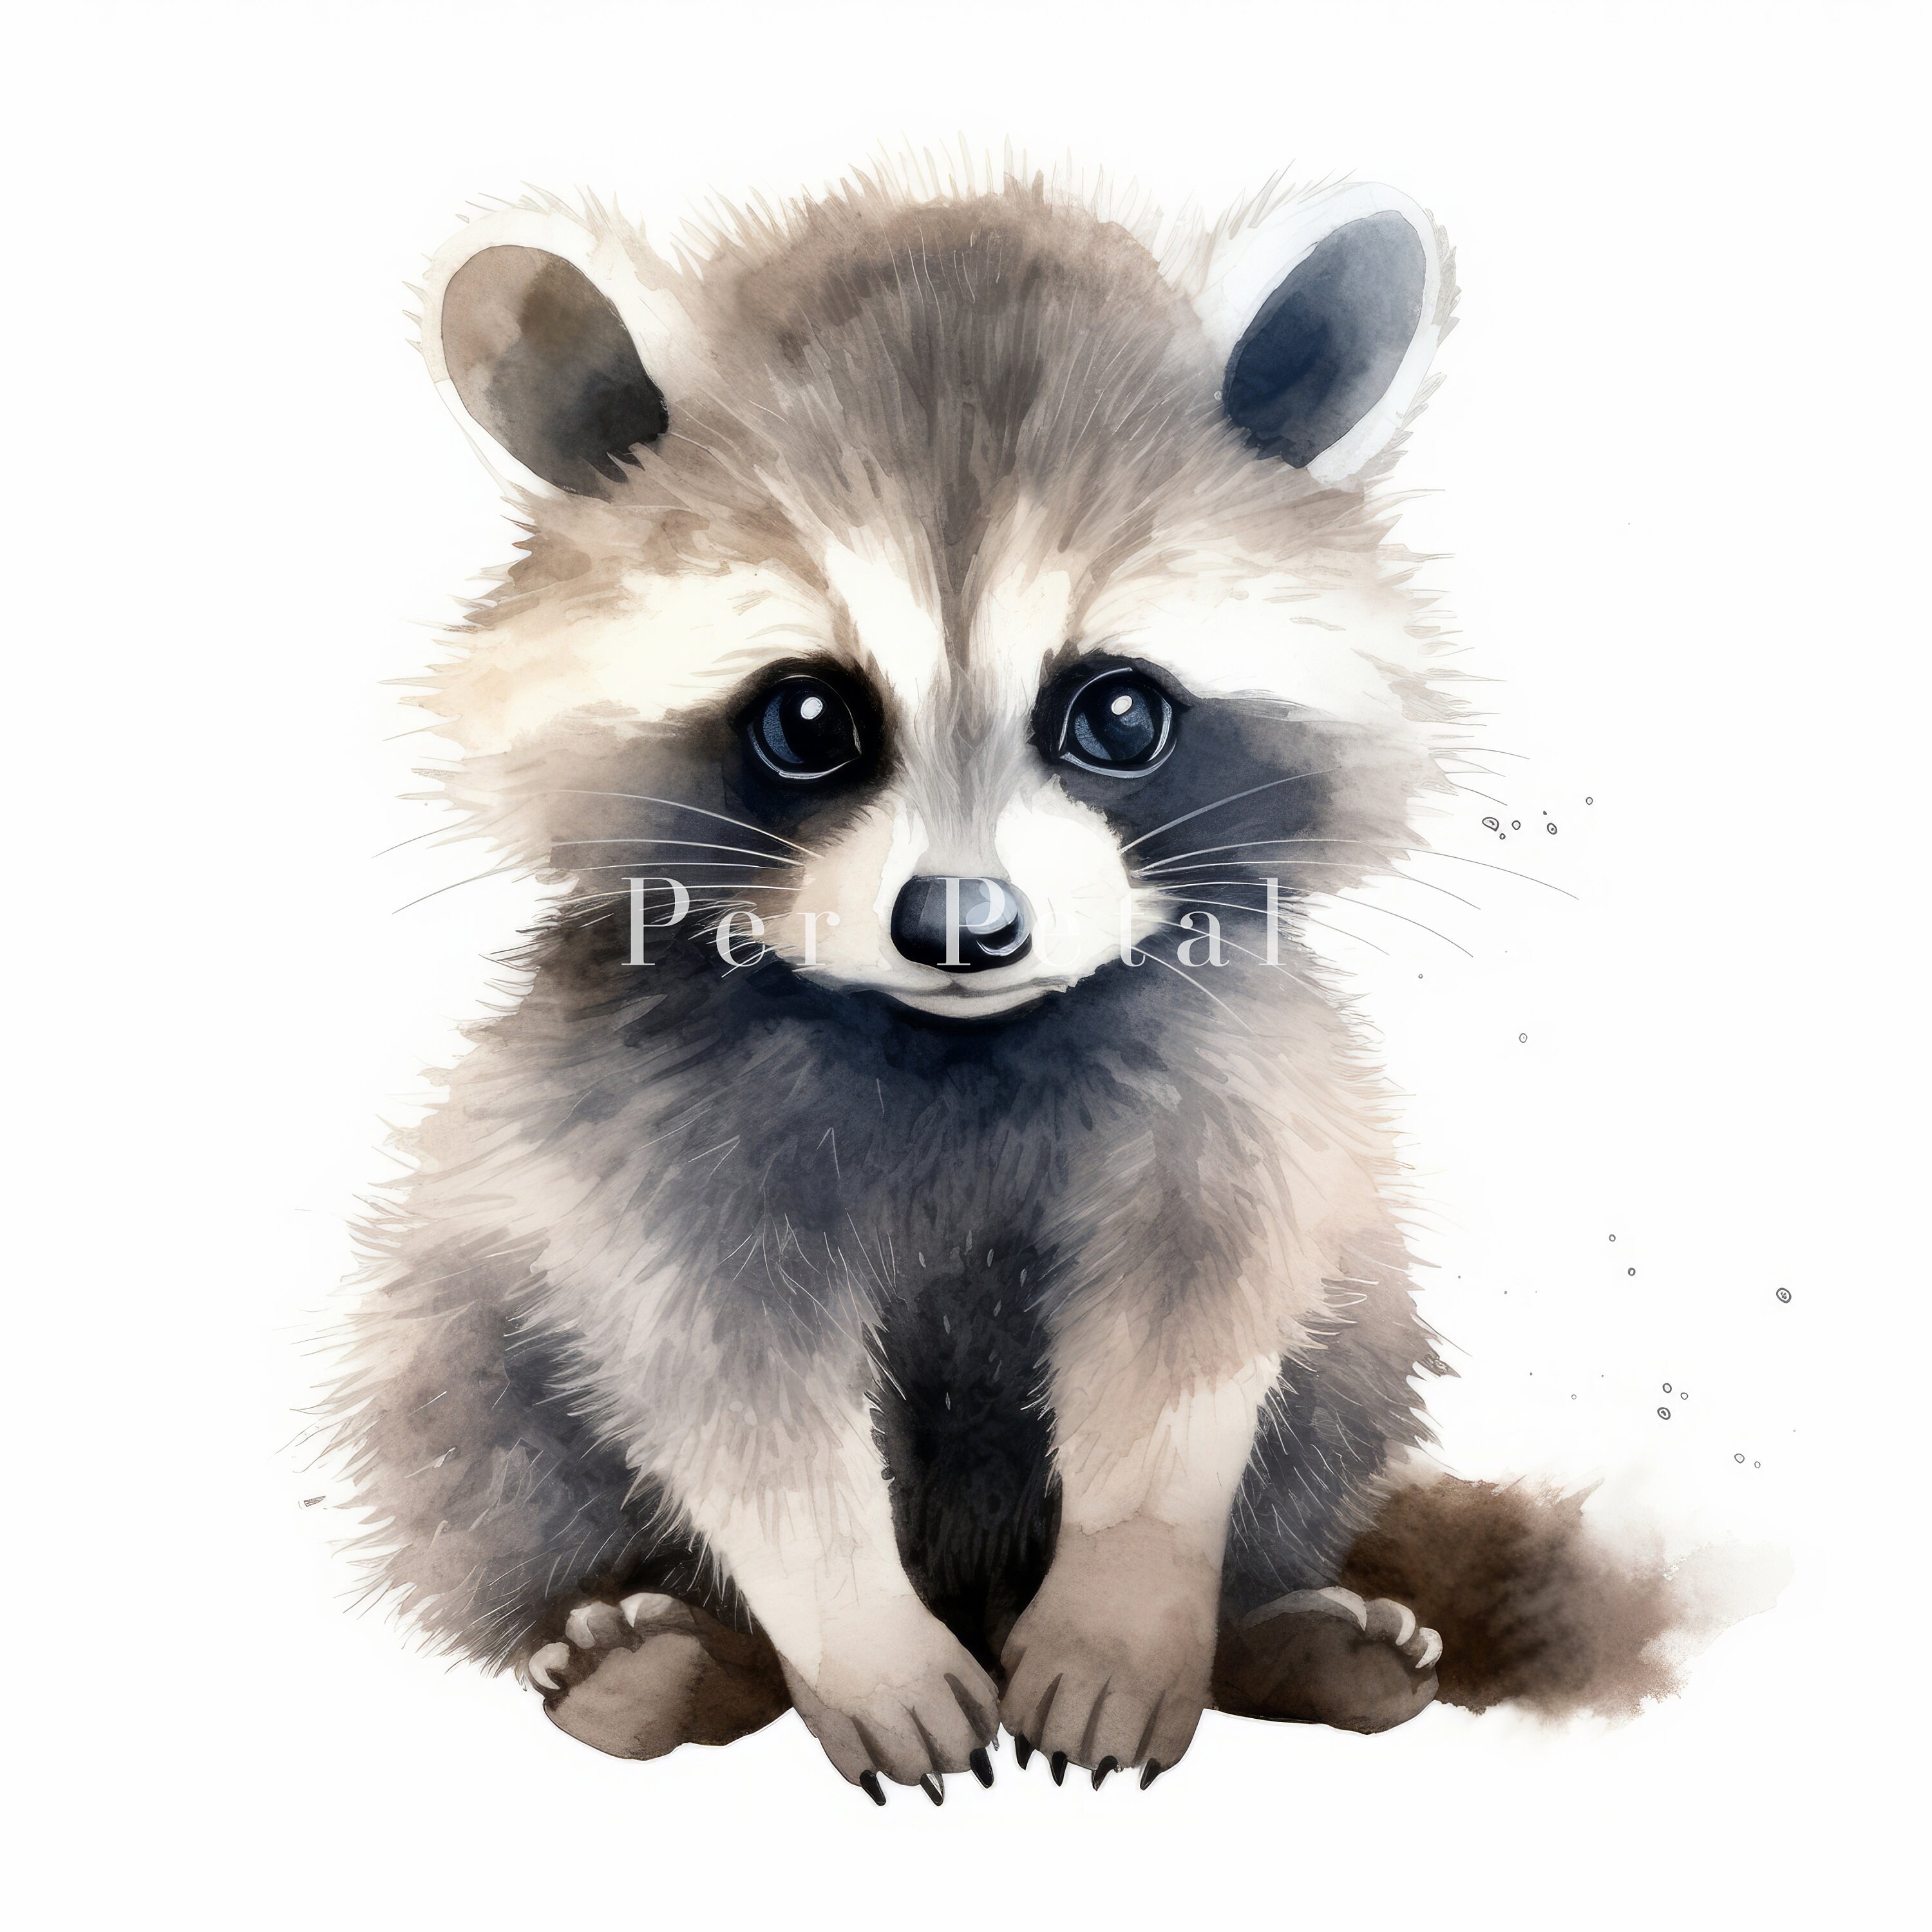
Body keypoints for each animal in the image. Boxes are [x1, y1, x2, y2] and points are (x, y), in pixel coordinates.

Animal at [328, 162, 1476, 1800]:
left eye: (1117, 712)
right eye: (809, 716)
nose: (962, 925)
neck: (954, 1040)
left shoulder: (1229, 1064)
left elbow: (1195, 1323)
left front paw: (1127, 1609)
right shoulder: (637, 1107)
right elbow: (726, 1379)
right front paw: (856, 1639)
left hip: (1360, 1327)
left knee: (1335, 1354)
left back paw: (1277, 1627)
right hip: (450, 1354)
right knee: (464, 1394)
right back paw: (652, 1651)